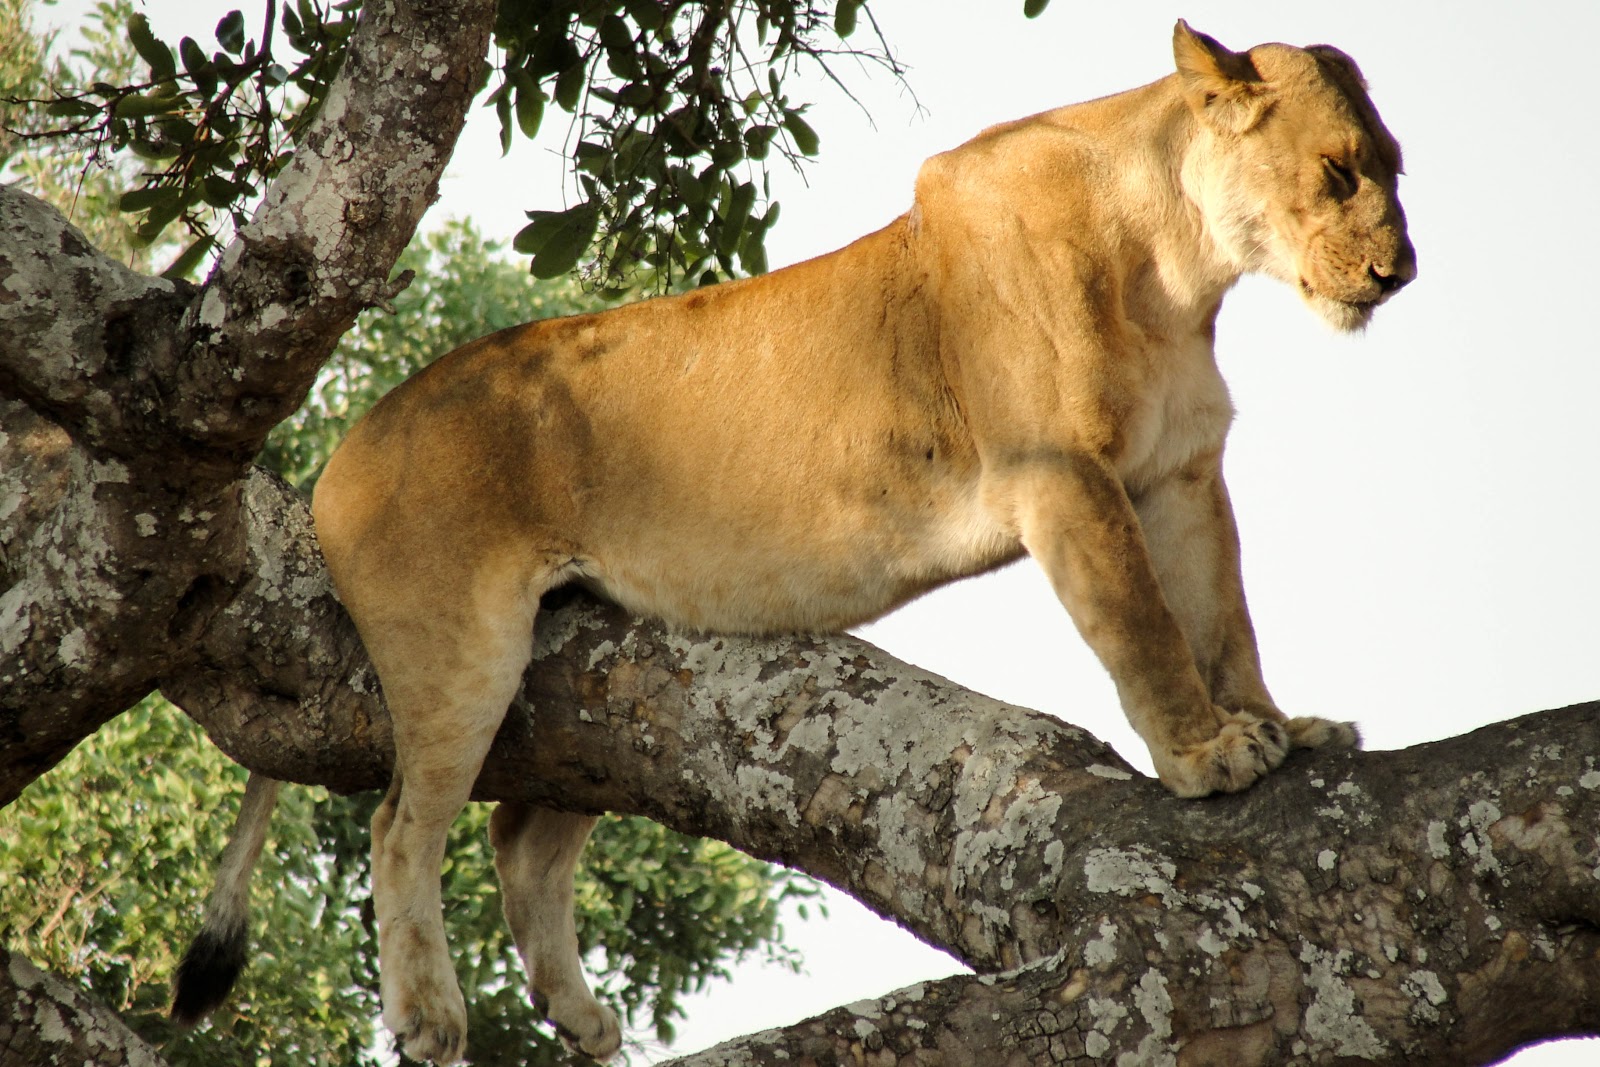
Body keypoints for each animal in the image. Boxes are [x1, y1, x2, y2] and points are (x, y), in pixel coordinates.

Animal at [173, 21, 1413, 1064]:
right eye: (1339, 171)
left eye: (1393, 169)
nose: (1397, 274)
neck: (1179, 263)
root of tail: (346, 443)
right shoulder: (1063, 477)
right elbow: (1149, 630)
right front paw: (1206, 756)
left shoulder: (1179, 474)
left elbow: (1222, 619)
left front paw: (1284, 724)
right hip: (460, 655)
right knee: (401, 826)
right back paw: (431, 1013)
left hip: (593, 695)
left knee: (522, 834)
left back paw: (580, 1017)